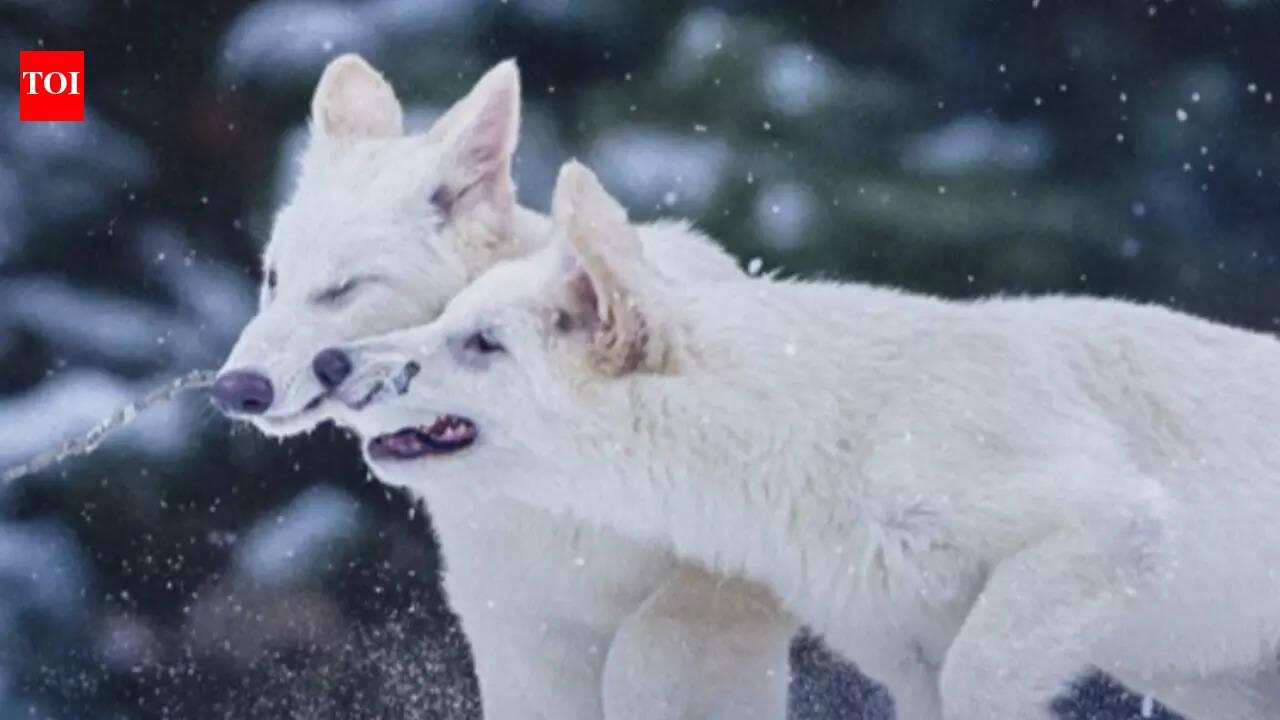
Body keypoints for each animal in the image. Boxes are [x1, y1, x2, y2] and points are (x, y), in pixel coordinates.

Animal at [212, 57, 795, 720]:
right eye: (273, 278)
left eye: (342, 290)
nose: (235, 389)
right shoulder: (520, 634)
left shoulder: (729, 570)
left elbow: (653, 648)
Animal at [323, 160, 1280, 720]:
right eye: (443, 318)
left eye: (481, 343)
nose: (334, 363)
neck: (817, 432)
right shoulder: (905, 659)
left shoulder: (1102, 523)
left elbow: (983, 679)